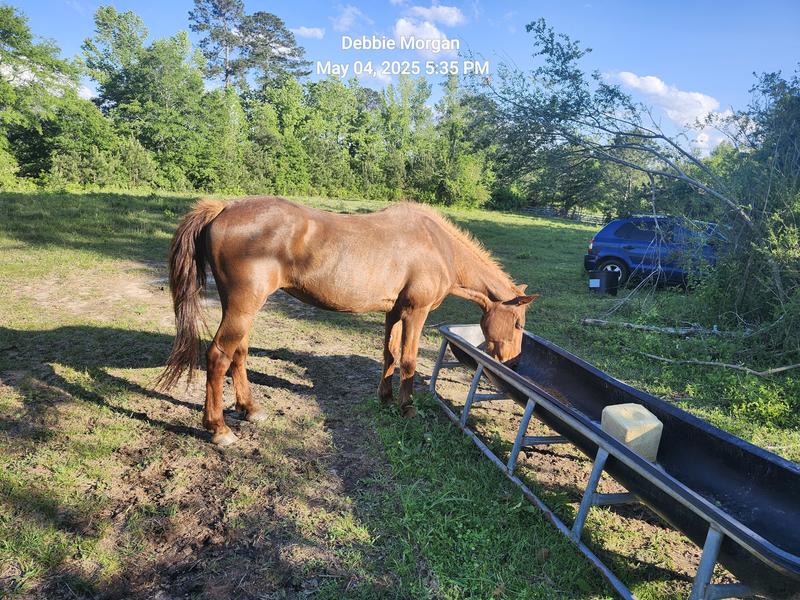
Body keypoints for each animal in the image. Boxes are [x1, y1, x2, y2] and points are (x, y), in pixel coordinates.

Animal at [157, 196, 537, 446]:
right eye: (519, 324)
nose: (513, 362)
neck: (437, 246)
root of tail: (224, 207)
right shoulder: (416, 312)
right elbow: (409, 360)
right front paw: (407, 407)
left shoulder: (394, 312)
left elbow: (389, 355)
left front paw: (385, 398)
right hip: (243, 306)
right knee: (218, 356)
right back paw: (218, 428)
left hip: (240, 307)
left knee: (239, 353)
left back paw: (250, 409)